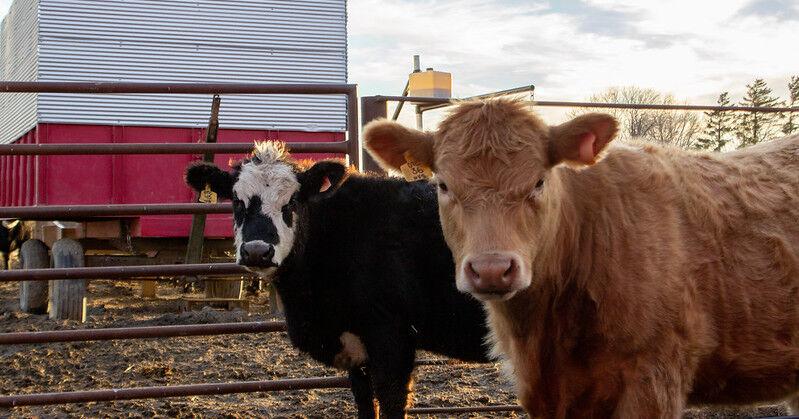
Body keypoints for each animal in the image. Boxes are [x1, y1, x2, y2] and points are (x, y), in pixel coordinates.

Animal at [184, 142, 490, 419]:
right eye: (237, 202)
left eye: (291, 202)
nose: (257, 250)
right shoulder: (357, 353)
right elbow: (366, 404)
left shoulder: (391, 340)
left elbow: (391, 404)